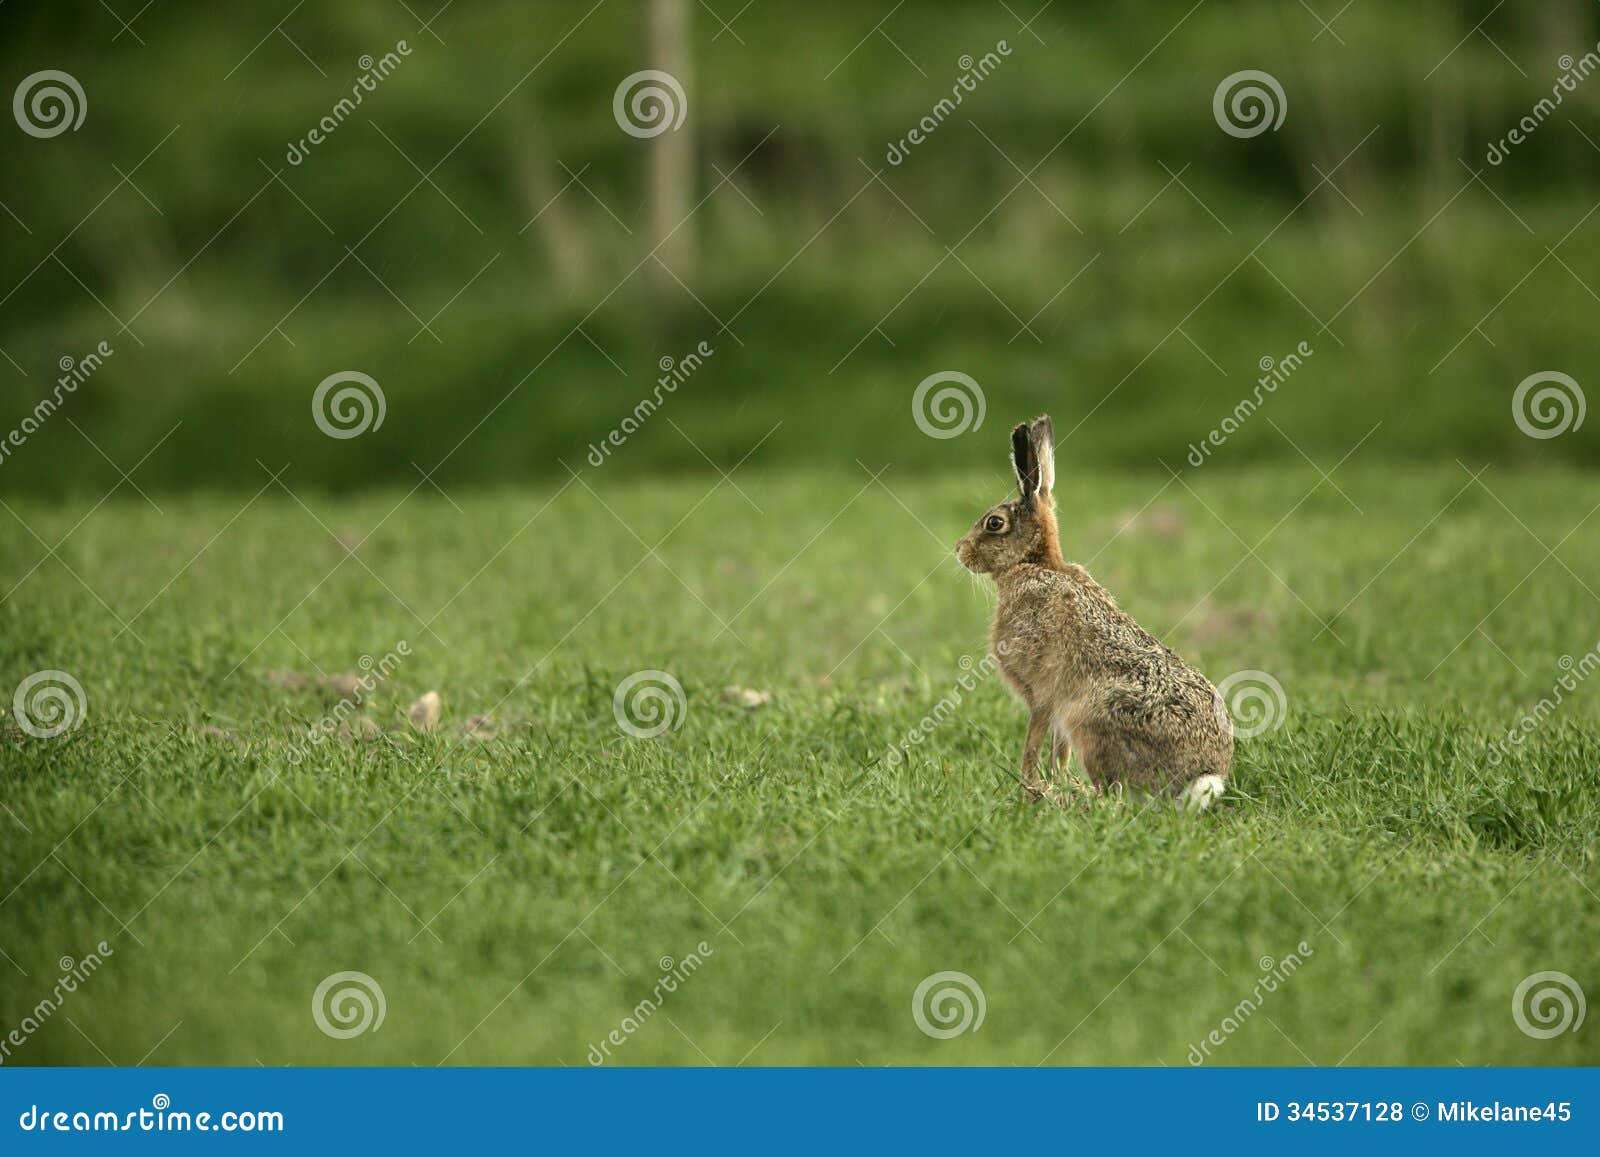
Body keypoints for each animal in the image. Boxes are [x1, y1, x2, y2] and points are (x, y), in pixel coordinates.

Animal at [954, 415, 1232, 810]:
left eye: (994, 523)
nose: (959, 551)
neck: (1034, 563)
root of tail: (1199, 777)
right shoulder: (1057, 710)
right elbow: (1058, 751)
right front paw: (1056, 784)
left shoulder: (1042, 696)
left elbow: (1033, 744)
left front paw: (1033, 788)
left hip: (1090, 719)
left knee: (1117, 795)